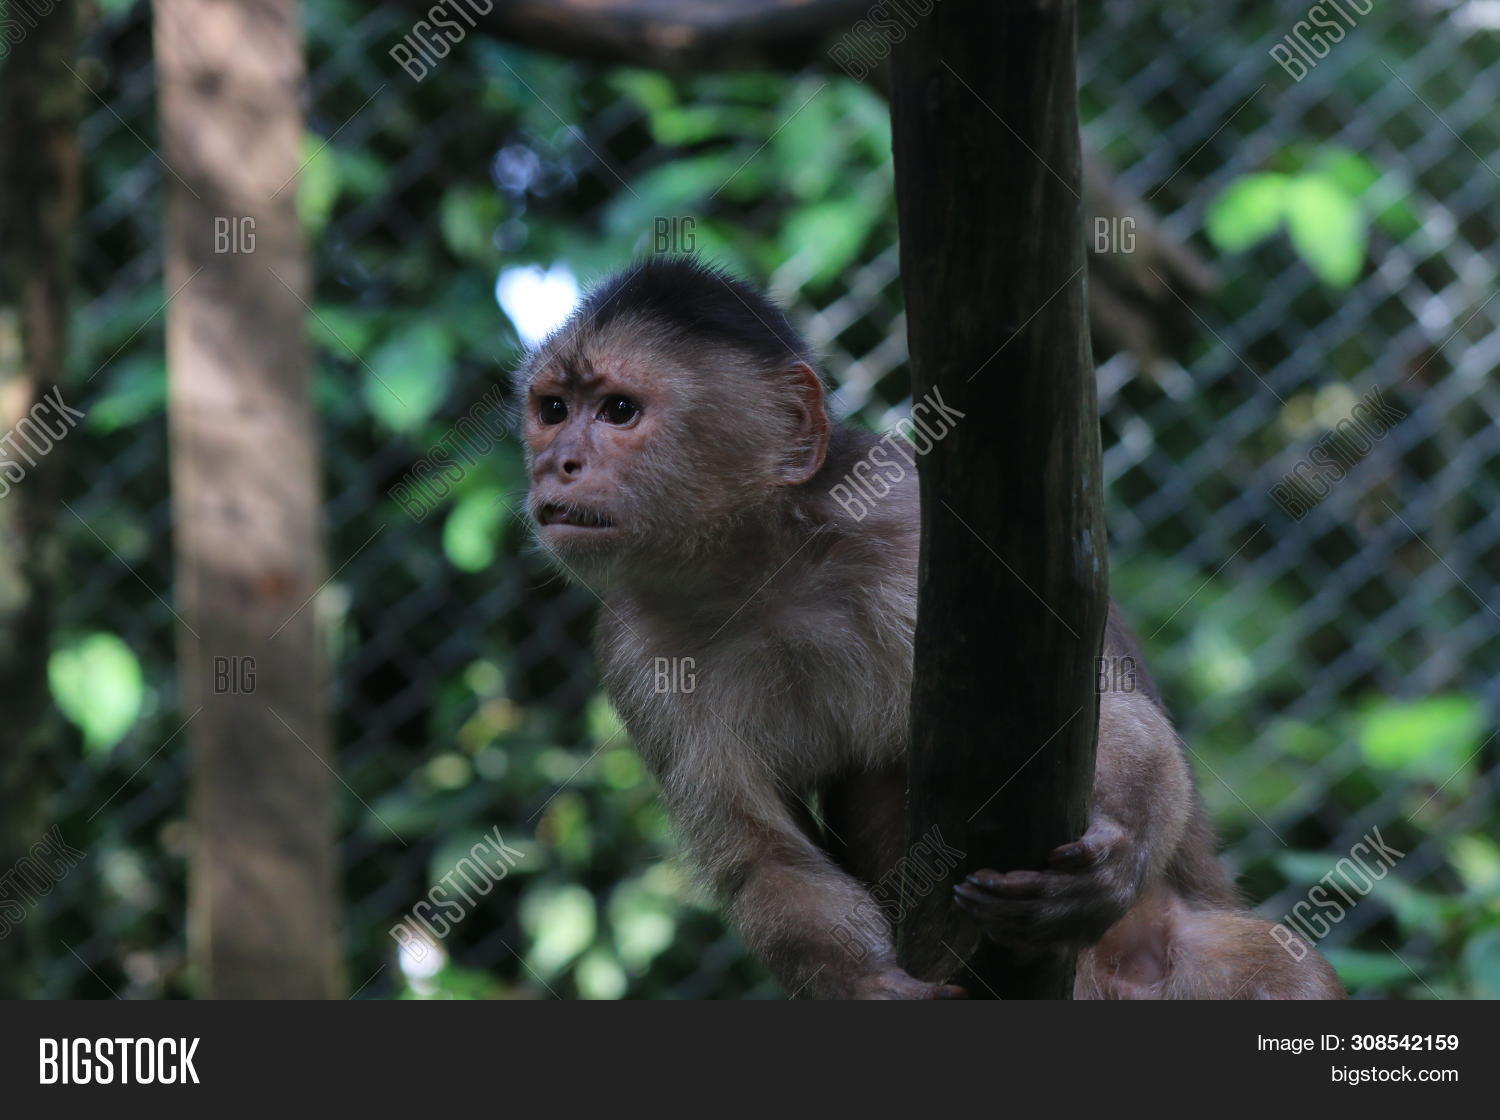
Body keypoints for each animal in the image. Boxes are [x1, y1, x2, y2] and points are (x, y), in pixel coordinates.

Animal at [513, 256, 1343, 1000]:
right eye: (553, 411)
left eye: (619, 411)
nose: (557, 463)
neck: (763, 573)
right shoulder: (631, 648)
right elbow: (762, 854)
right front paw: (869, 985)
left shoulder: (908, 530)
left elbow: (1107, 711)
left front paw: (1116, 857)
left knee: (1278, 971)